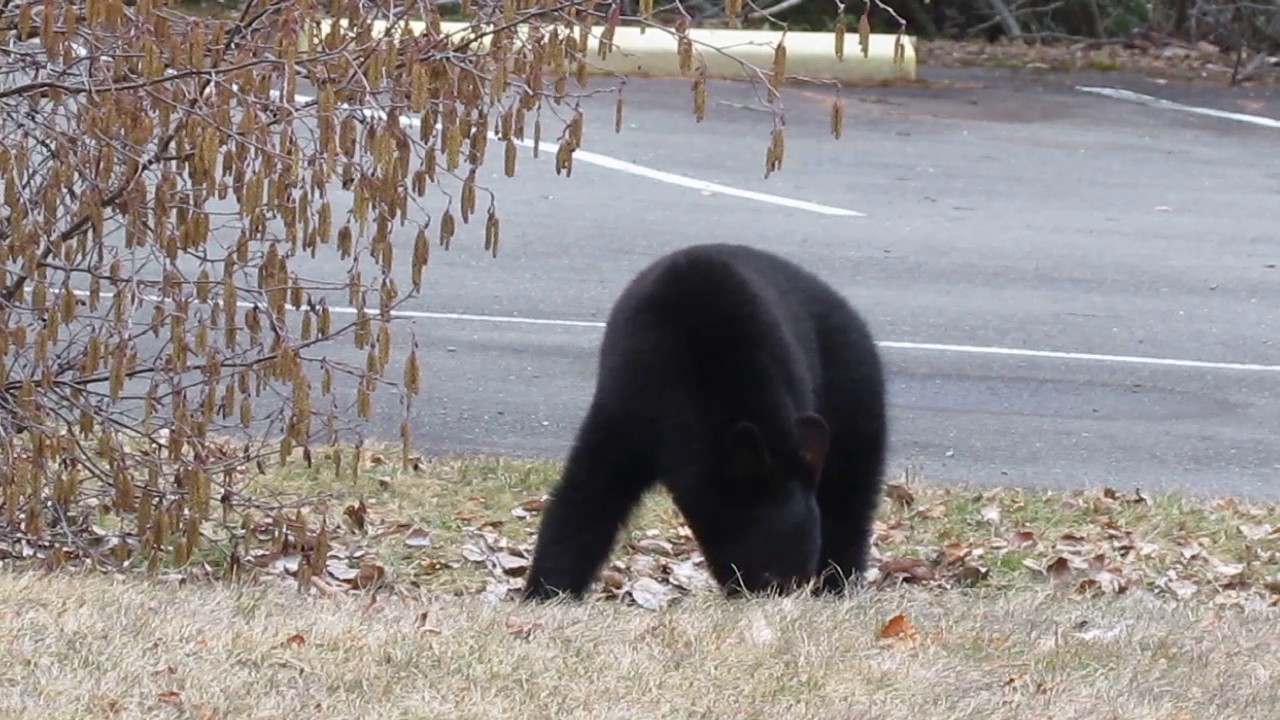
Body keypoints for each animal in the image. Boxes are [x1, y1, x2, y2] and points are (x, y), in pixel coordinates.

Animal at [520, 242, 888, 602]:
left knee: (850, 491)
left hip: (852, 385)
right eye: (769, 576)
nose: (781, 598)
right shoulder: (630, 401)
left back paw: (839, 583)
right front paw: (547, 591)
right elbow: (590, 491)